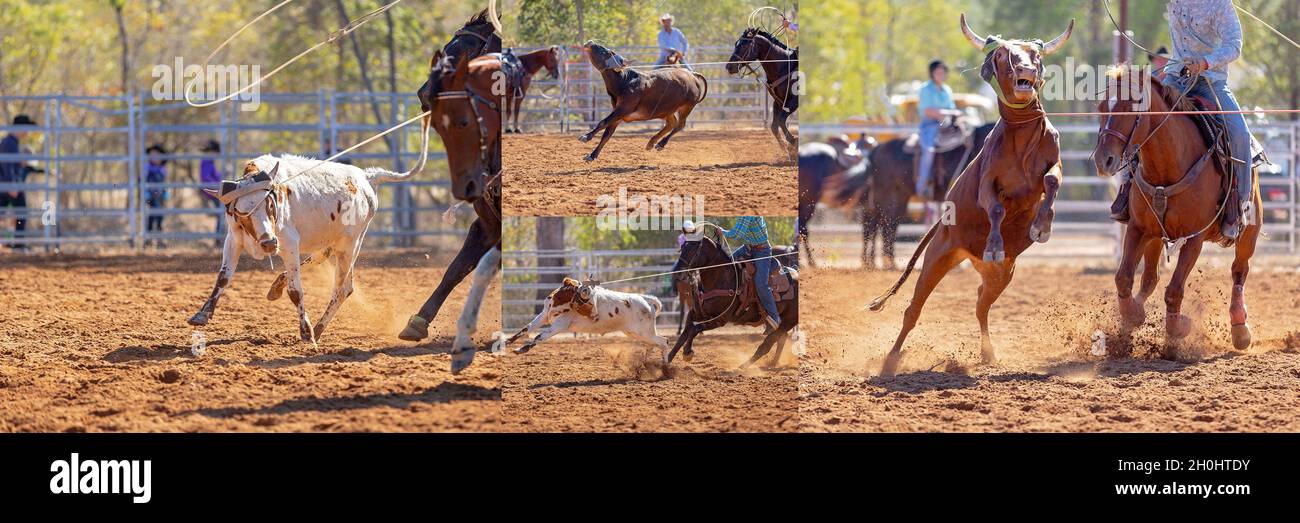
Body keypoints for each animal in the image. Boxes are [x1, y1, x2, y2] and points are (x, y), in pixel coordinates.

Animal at [187, 154, 412, 344]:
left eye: (269, 204)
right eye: (242, 213)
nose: (269, 243)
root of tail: (367, 177)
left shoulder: (289, 244)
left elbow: (295, 291)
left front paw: (306, 331)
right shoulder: (233, 240)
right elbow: (223, 278)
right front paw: (202, 315)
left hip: (350, 246)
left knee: (342, 289)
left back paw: (318, 329)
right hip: (330, 245)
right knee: (323, 262)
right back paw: (277, 288)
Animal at [504, 278, 667, 354]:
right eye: (587, 295)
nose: (595, 315)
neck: (559, 302)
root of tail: (646, 300)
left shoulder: (558, 326)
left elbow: (539, 337)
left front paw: (521, 350)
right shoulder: (544, 315)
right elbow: (526, 329)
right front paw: (506, 342)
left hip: (644, 332)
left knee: (663, 342)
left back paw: (664, 367)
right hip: (634, 333)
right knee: (655, 344)